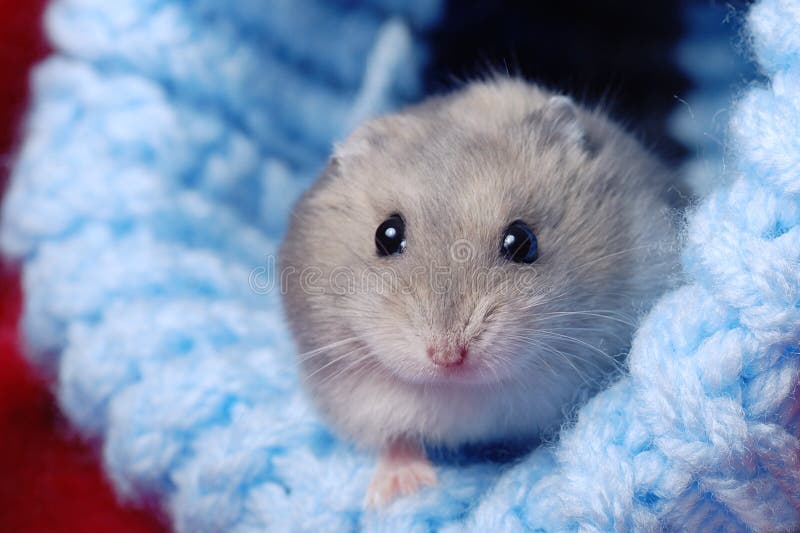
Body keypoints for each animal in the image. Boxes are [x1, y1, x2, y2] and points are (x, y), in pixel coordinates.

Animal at [279, 78, 679, 507]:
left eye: (522, 241)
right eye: (386, 235)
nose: (447, 356)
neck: (464, 393)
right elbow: (395, 440)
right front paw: (401, 492)